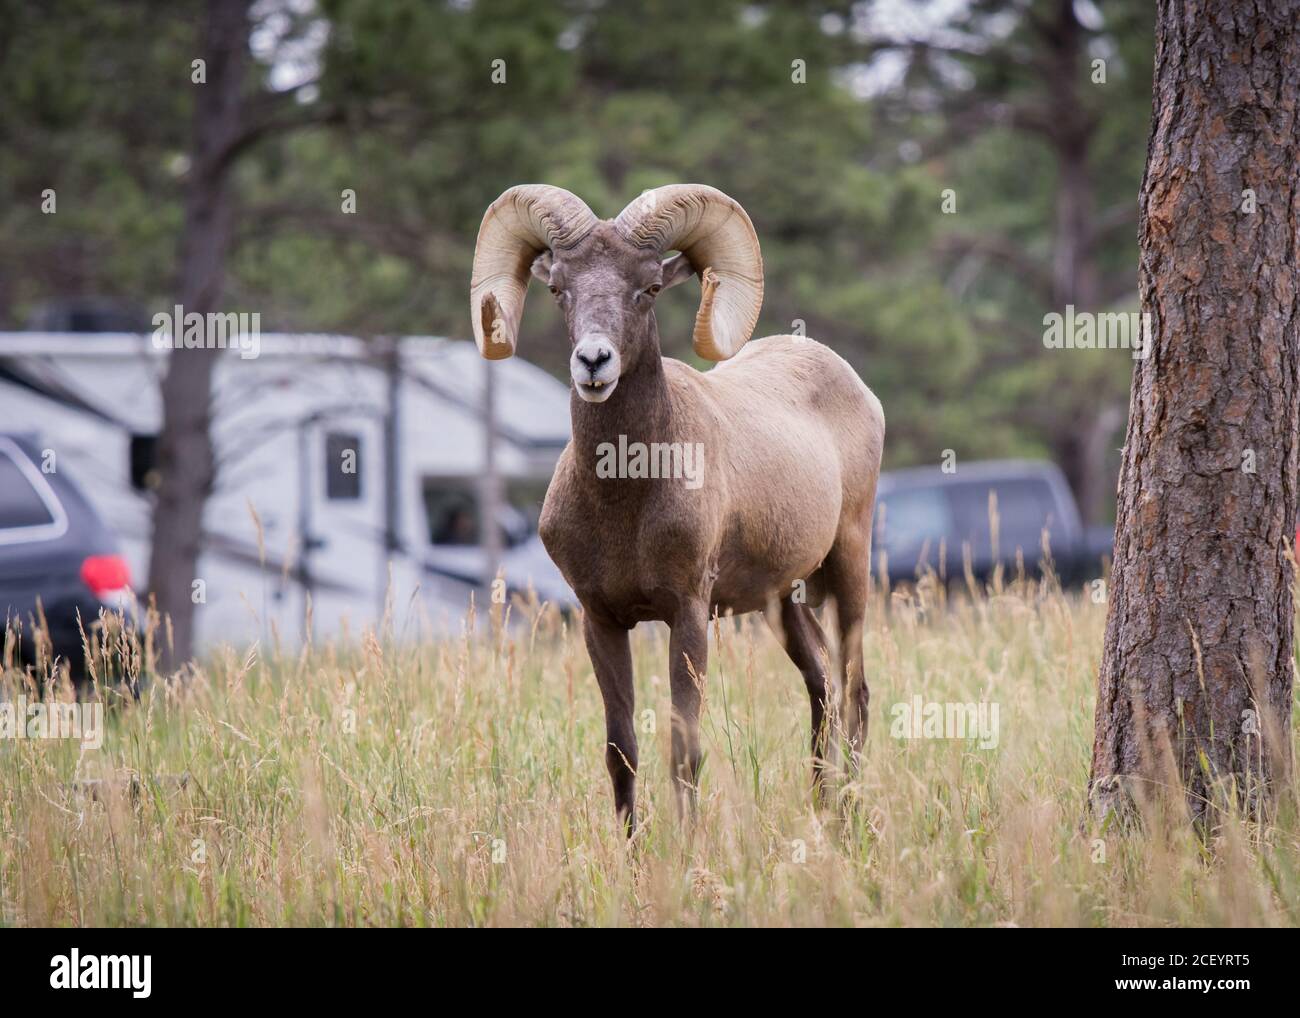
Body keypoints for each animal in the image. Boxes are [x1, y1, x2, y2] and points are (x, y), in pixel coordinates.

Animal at [470, 183, 885, 832]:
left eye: (649, 288)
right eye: (559, 288)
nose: (594, 362)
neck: (625, 504)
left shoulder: (688, 613)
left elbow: (684, 748)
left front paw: (688, 848)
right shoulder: (600, 619)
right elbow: (621, 750)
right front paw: (632, 850)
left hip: (848, 566)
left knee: (855, 691)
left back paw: (846, 818)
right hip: (783, 602)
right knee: (822, 689)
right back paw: (820, 810)